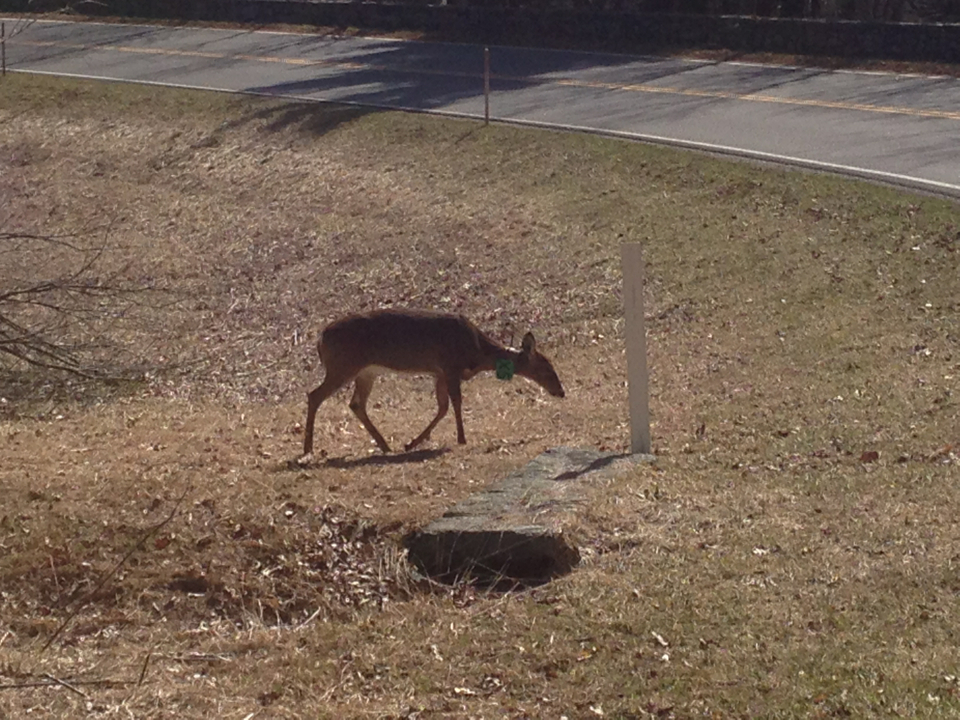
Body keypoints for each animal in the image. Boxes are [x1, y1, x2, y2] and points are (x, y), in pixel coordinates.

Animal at [301, 309, 565, 458]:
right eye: (547, 369)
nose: (561, 392)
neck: (477, 353)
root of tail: (320, 338)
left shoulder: (438, 373)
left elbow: (442, 406)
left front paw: (411, 443)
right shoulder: (449, 365)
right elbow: (456, 402)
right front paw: (462, 438)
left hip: (366, 372)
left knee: (356, 404)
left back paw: (385, 446)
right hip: (343, 365)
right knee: (314, 395)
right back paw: (307, 448)